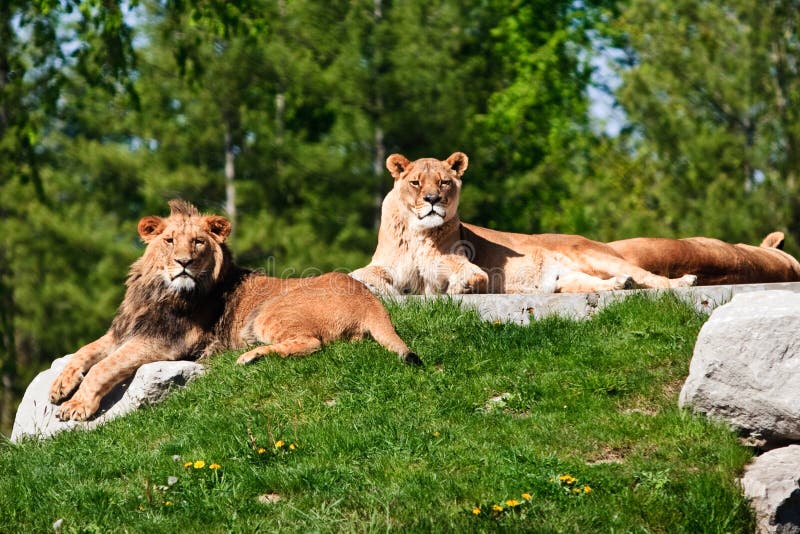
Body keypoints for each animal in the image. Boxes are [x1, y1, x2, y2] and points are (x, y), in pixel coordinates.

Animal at [50, 200, 420, 421]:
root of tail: (368, 299)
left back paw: (250, 357)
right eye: (169, 241)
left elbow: (105, 366)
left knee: (312, 343)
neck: (158, 291)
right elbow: (85, 352)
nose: (183, 263)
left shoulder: (166, 342)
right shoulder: (126, 330)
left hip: (268, 311)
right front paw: (59, 387)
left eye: (198, 242)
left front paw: (76, 406)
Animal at [350, 152, 697, 294]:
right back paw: (620, 284)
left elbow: (471, 277)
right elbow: (360, 276)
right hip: (567, 280)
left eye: (444, 182)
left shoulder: (461, 264)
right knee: (601, 282)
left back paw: (683, 282)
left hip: (594, 255)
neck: (416, 233)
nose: (433, 199)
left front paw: (461, 287)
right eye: (416, 183)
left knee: (649, 276)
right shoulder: (384, 264)